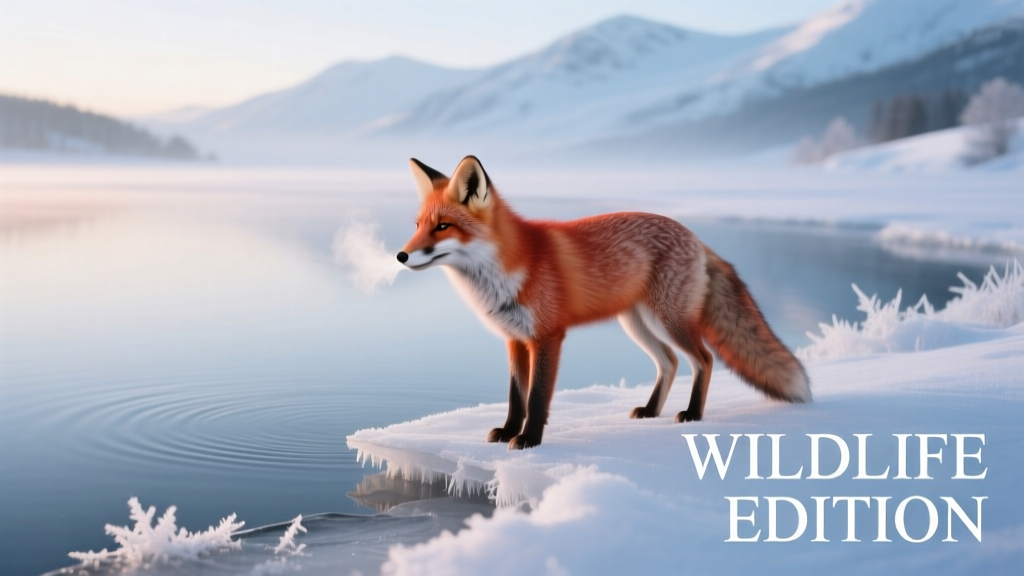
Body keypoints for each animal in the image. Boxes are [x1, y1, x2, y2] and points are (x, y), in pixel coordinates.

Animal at [397, 156, 810, 450]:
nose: (400, 256)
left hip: (669, 321)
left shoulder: (547, 336)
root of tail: (694, 235)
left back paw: (692, 414)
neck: (505, 272)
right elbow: (516, 398)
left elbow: (537, 398)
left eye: (443, 227)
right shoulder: (515, 339)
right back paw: (651, 410)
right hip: (638, 324)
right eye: (417, 226)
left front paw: (529, 440)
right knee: (670, 362)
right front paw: (508, 431)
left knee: (704, 360)